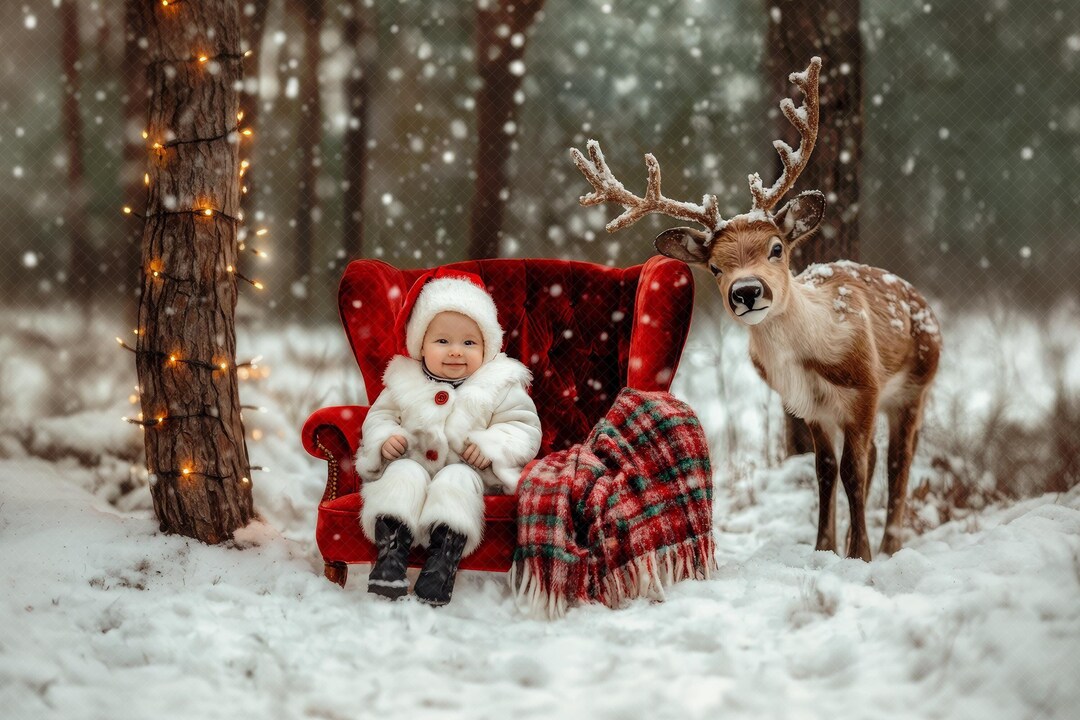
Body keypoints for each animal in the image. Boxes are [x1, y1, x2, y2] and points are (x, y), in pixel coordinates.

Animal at [570, 57, 941, 561]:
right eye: (714, 266)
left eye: (777, 248)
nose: (746, 291)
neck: (812, 354)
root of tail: (925, 305)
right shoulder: (809, 406)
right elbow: (825, 471)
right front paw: (824, 548)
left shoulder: (864, 390)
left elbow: (853, 471)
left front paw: (859, 554)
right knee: (879, 459)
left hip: (915, 386)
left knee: (899, 461)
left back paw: (890, 544)